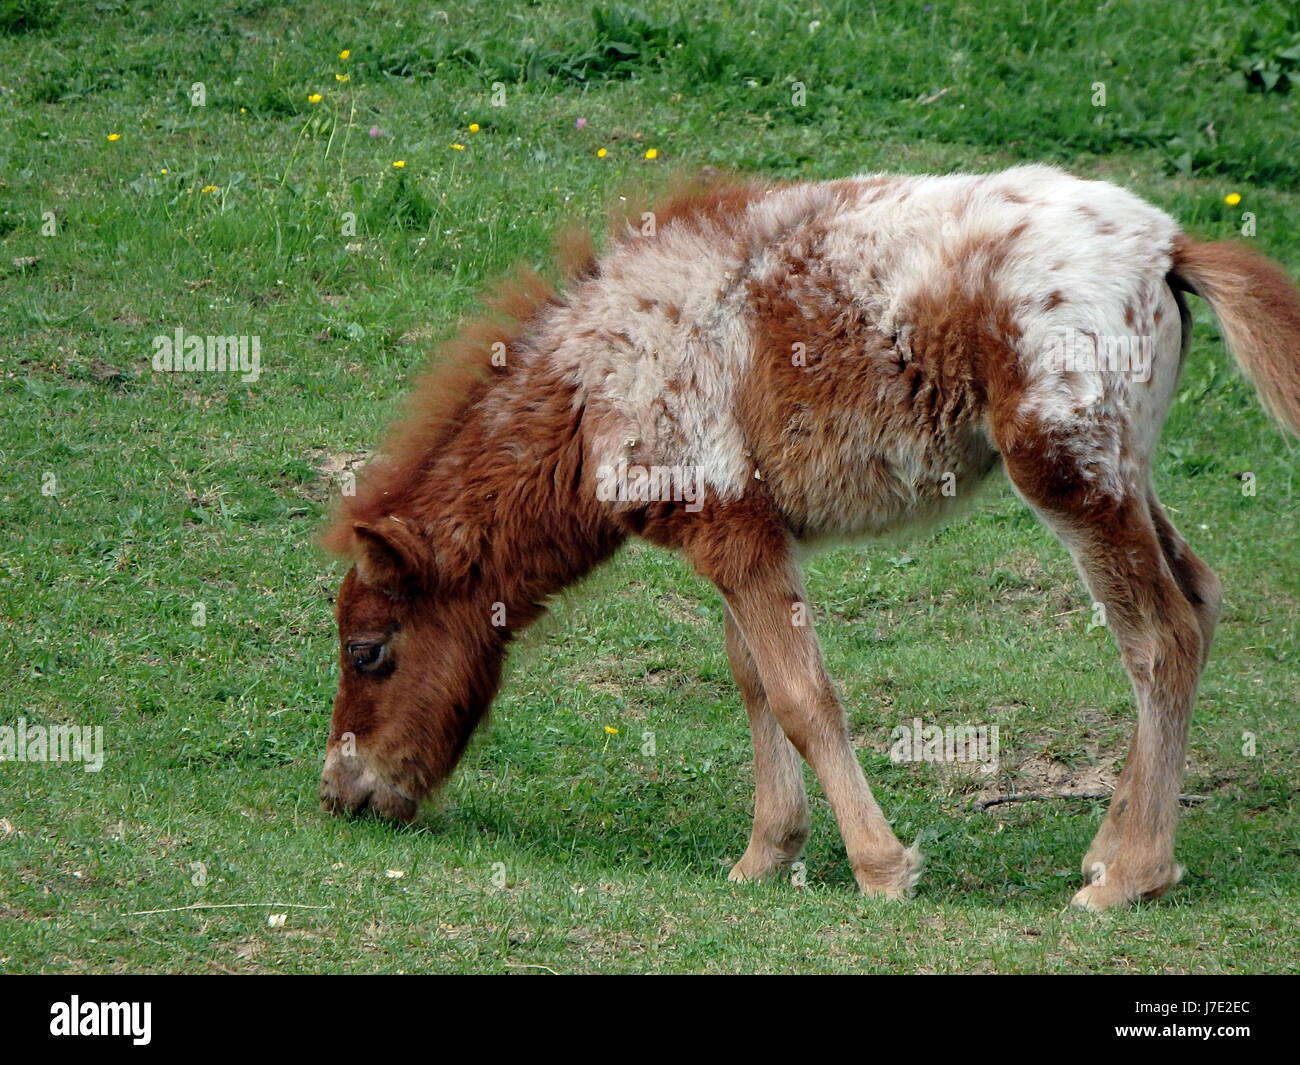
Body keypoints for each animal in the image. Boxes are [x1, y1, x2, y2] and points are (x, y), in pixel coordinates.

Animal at [318, 165, 1300, 910]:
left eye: (368, 651)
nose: (340, 793)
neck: (595, 384)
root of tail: (1166, 245)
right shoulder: (746, 533)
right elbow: (755, 679)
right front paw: (767, 854)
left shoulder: (731, 530)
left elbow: (802, 694)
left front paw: (881, 867)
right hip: (1124, 474)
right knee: (1201, 597)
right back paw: (1110, 846)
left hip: (1071, 477)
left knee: (1160, 638)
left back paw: (1130, 877)